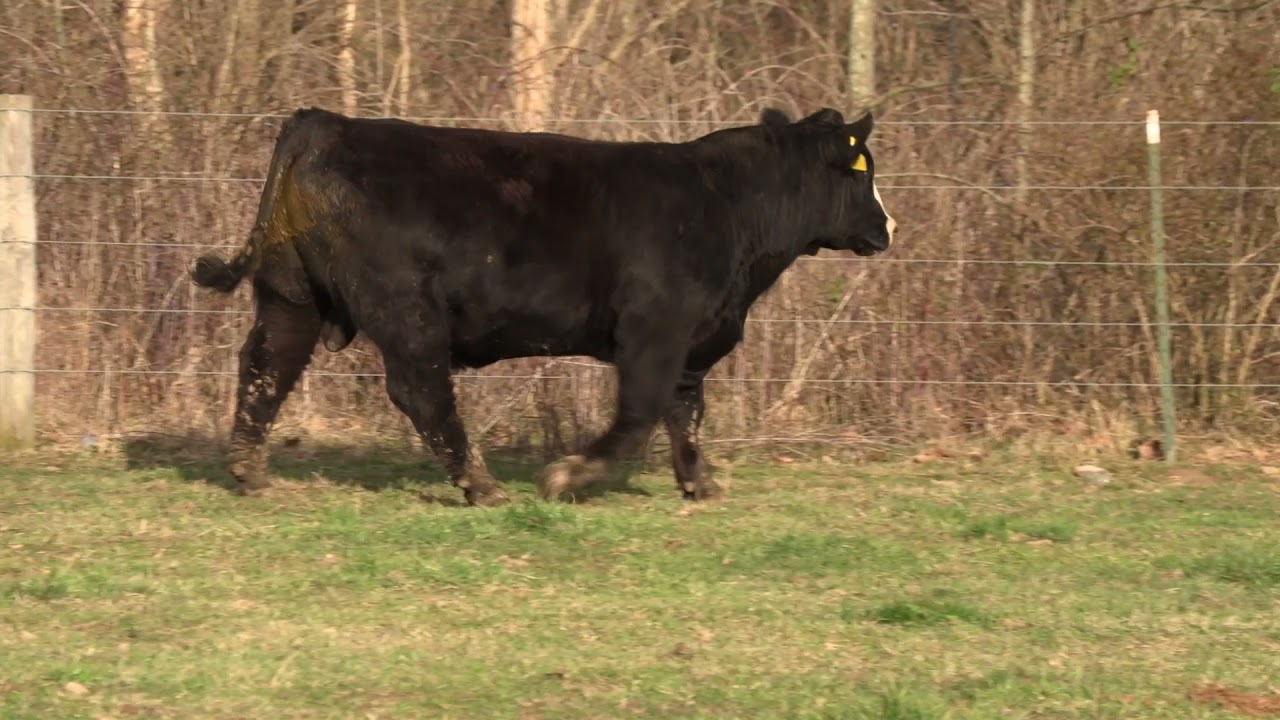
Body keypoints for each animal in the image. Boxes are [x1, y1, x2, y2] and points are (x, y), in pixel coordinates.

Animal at [190, 104, 897, 507]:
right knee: (421, 391)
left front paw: (700, 482)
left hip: (290, 295)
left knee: (266, 368)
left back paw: (250, 473)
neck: (724, 205)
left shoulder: (694, 341)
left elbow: (686, 412)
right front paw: (569, 476)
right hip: (406, 311)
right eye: (862, 171)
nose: (888, 226)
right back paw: (482, 486)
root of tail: (329, 122)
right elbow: (640, 415)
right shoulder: (654, 332)